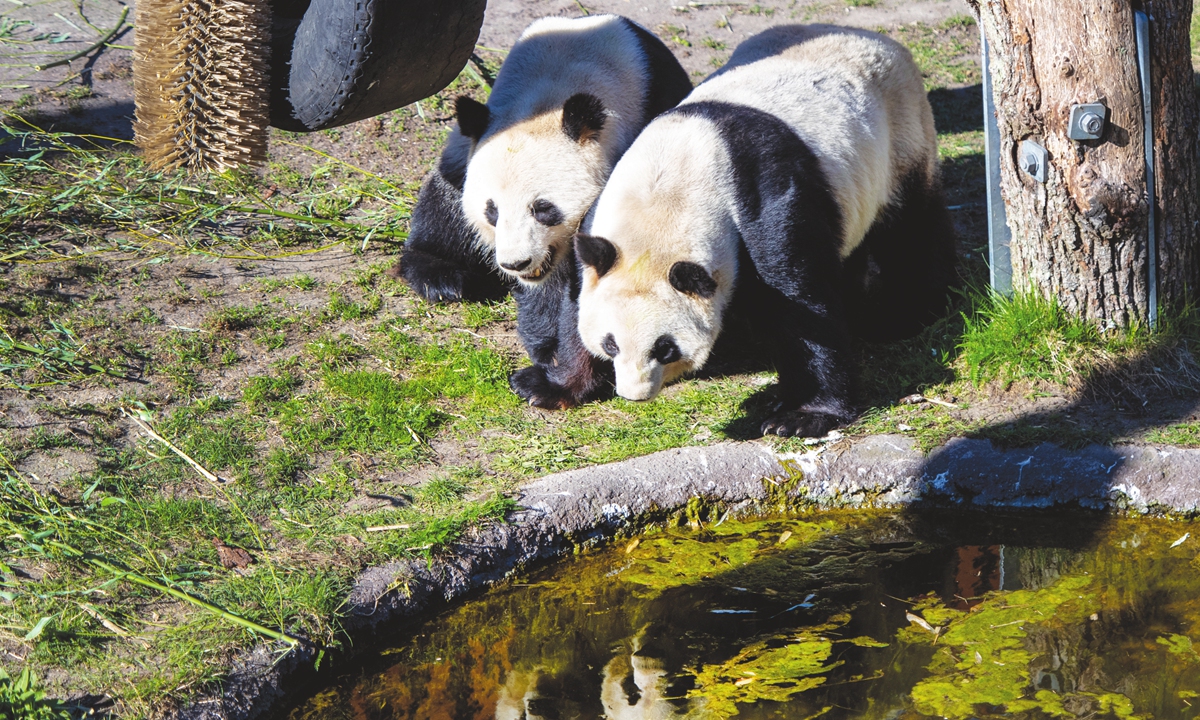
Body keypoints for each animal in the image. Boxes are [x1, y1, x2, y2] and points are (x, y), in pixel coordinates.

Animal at [394, 14, 691, 408]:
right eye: (492, 212)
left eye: (543, 209)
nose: (516, 264)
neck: (548, 102)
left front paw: (549, 370)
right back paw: (440, 277)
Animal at [574, 24, 957, 437]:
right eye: (611, 344)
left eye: (664, 347)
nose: (635, 394)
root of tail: (871, 35)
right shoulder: (603, 216)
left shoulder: (762, 203)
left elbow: (802, 307)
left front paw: (803, 416)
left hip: (901, 138)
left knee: (911, 232)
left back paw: (903, 314)